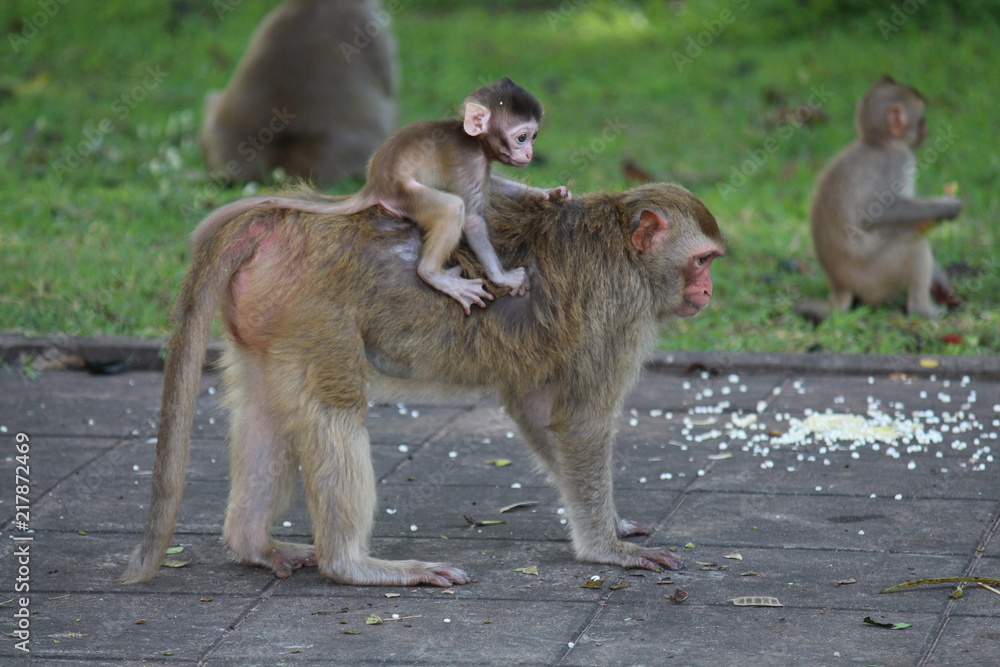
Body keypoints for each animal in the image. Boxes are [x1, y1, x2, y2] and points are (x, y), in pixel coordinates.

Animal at [119, 182, 725, 587]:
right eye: (703, 260)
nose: (708, 291)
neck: (623, 244)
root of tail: (282, 217)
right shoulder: (617, 309)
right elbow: (579, 421)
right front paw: (606, 548)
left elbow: (534, 408)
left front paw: (614, 523)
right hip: (314, 307)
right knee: (333, 409)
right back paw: (353, 565)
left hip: (268, 314)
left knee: (269, 411)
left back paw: (252, 544)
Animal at [208, 77, 571, 315]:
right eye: (522, 137)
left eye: (534, 137)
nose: (529, 153)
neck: (474, 140)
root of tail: (375, 185)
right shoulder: (468, 161)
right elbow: (471, 217)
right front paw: (503, 277)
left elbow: (493, 183)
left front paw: (548, 194)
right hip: (403, 195)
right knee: (451, 207)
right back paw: (432, 275)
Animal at [807, 75, 962, 319]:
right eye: (922, 119)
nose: (925, 131)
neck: (880, 143)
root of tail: (839, 284)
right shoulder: (897, 161)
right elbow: (875, 215)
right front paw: (948, 207)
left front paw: (940, 281)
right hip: (873, 276)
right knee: (914, 247)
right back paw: (922, 310)